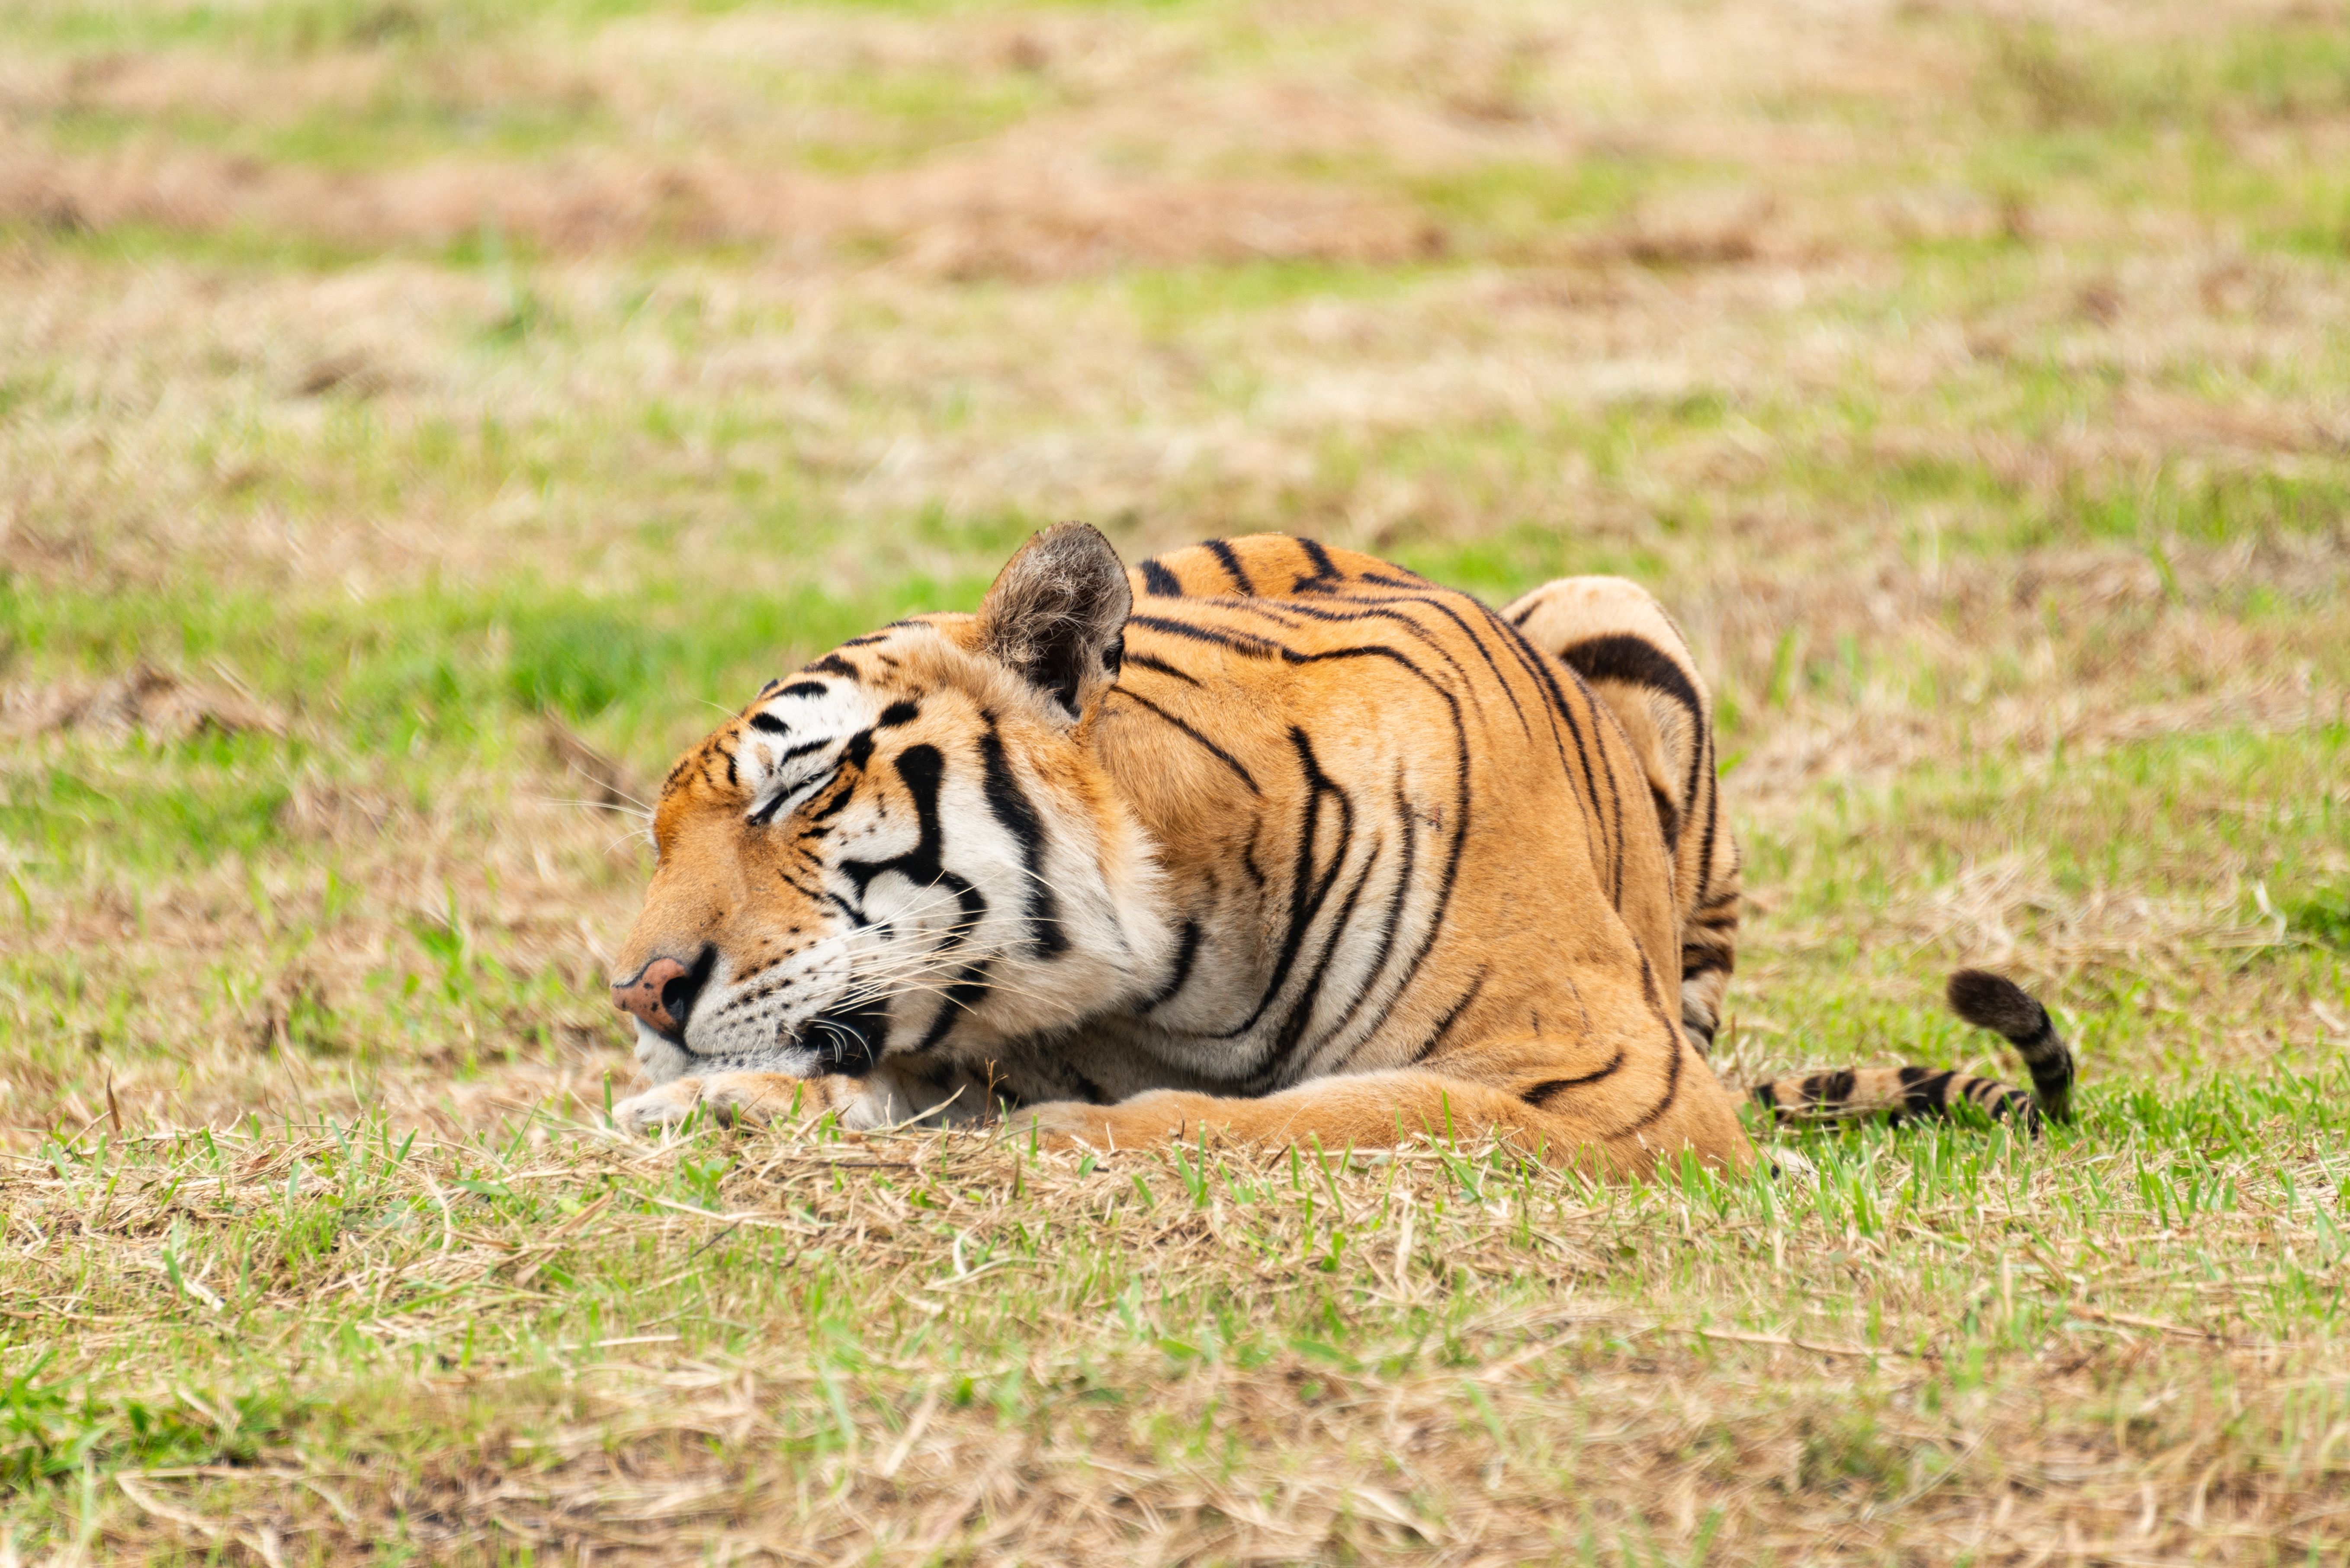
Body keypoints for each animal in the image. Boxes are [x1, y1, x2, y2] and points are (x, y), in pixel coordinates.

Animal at [607, 525, 2073, 1176]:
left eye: (801, 784)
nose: (638, 994)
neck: (1166, 976)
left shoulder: (1620, 1081)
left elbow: (1352, 1110)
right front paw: (714, 1103)